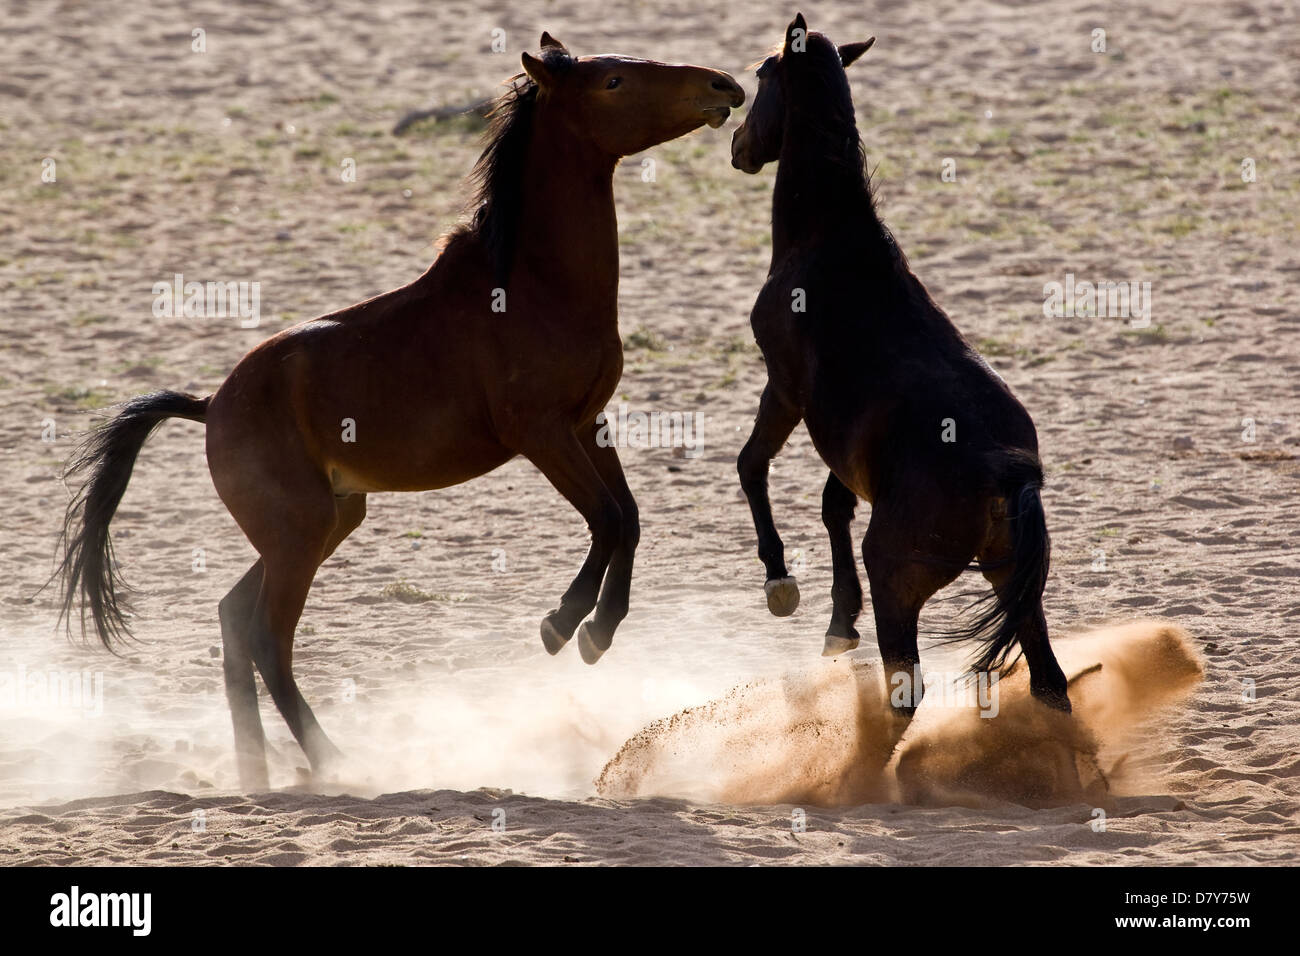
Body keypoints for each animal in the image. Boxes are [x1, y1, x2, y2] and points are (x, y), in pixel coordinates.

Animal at [55, 33, 745, 789]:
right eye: (614, 81)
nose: (724, 85)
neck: (532, 285)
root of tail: (211, 406)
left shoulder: (587, 424)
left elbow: (628, 517)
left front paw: (598, 629)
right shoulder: (540, 434)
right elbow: (608, 518)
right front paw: (565, 624)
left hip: (326, 520)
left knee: (234, 618)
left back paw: (257, 775)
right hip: (300, 533)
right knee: (266, 636)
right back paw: (334, 761)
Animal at [729, 13, 1071, 716]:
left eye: (762, 75)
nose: (737, 145)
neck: (830, 239)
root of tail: (1004, 471)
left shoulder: (784, 390)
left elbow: (752, 466)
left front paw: (780, 581)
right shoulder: (846, 445)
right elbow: (833, 504)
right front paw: (838, 623)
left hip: (900, 581)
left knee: (905, 685)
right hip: (1011, 584)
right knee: (1049, 679)